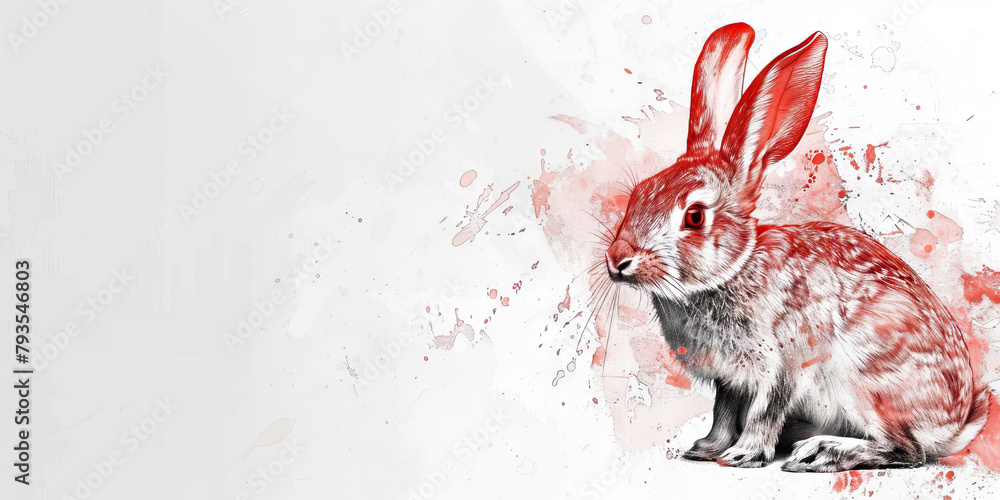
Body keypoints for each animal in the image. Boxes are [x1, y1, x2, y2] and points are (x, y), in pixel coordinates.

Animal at [603, 22, 989, 472]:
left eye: (694, 217)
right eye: (639, 193)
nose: (618, 259)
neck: (734, 269)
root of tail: (954, 424)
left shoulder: (783, 361)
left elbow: (764, 410)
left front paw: (744, 454)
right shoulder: (730, 378)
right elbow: (723, 411)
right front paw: (707, 449)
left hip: (866, 379)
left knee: (907, 450)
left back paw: (821, 452)